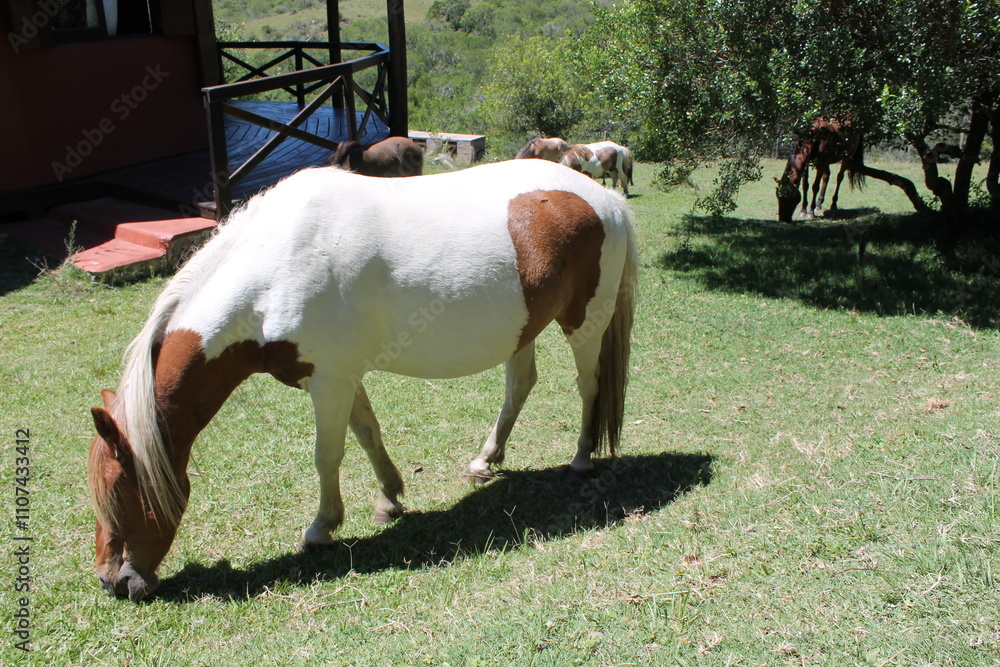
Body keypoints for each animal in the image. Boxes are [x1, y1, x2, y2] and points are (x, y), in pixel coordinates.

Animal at [87, 158, 638, 601]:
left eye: (117, 490)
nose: (114, 582)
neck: (274, 268)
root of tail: (603, 197)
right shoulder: (339, 377)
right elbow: (368, 435)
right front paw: (390, 498)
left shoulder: (329, 381)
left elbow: (327, 455)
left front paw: (321, 529)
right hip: (522, 329)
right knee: (519, 386)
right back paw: (485, 460)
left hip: (584, 323)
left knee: (588, 386)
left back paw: (582, 457)